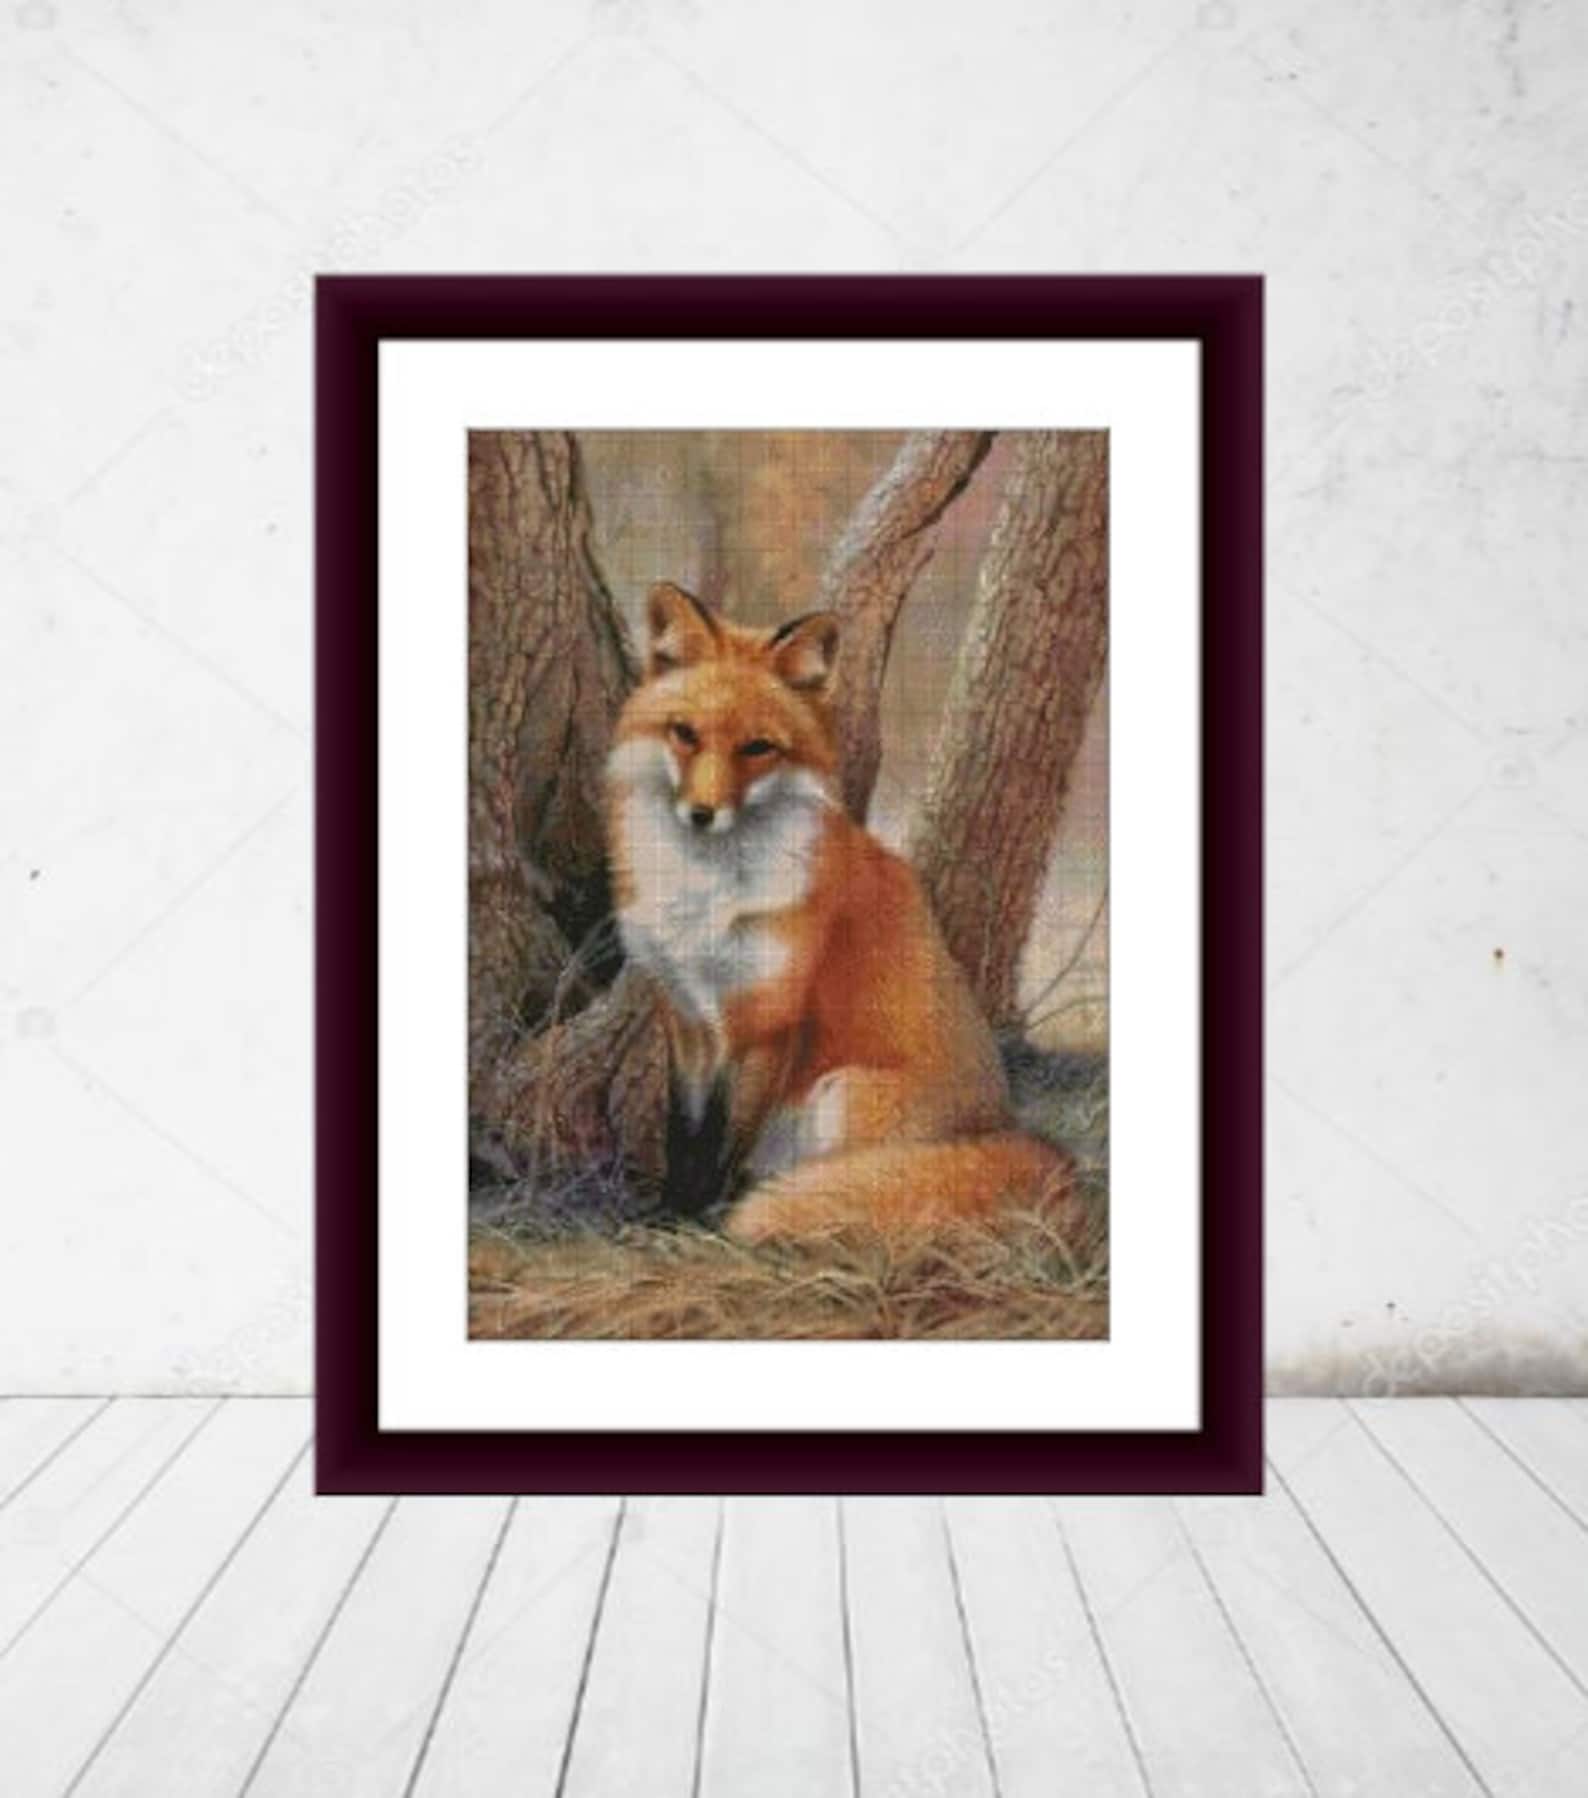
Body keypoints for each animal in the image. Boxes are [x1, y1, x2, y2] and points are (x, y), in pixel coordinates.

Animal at [605, 580, 1079, 1245]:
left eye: (758, 748)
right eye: (685, 733)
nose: (700, 814)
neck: (705, 895)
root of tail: (1009, 1131)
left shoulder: (767, 1021)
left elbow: (724, 1141)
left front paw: (697, 1223)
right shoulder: (687, 1016)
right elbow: (686, 1135)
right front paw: (668, 1210)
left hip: (843, 1092)